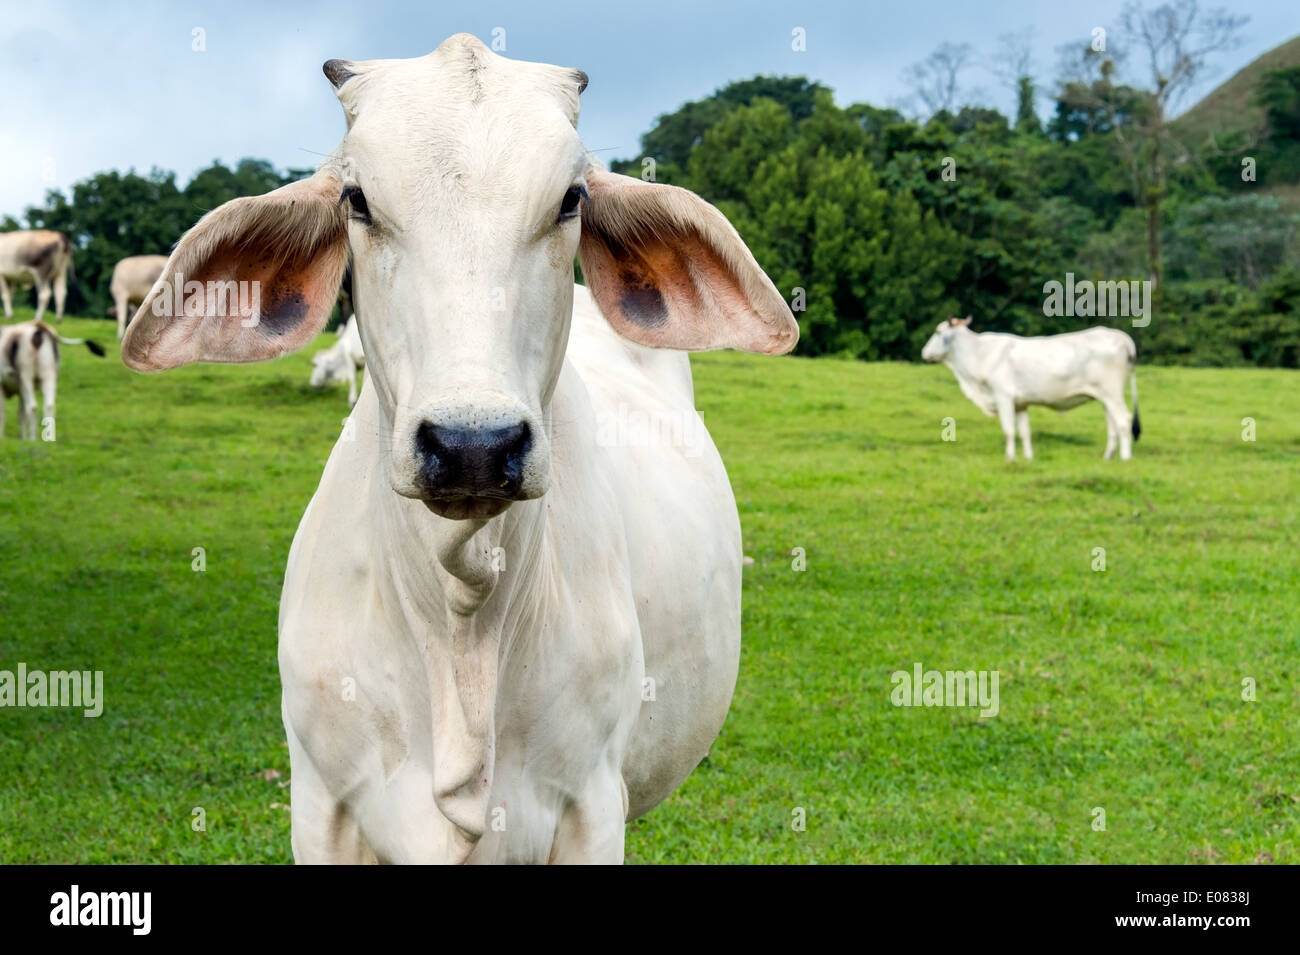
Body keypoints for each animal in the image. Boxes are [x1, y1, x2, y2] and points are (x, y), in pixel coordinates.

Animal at [120, 34, 798, 864]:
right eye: (357, 199)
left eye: (570, 199)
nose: (474, 444)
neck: (460, 625)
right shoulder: (320, 803)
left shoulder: (593, 807)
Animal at [921, 316, 1140, 461]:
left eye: (938, 332)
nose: (924, 352)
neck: (979, 354)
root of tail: (1122, 338)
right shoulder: (1020, 404)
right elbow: (1024, 432)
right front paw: (1028, 457)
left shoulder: (1003, 396)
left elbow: (1009, 430)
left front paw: (1009, 458)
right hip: (1106, 397)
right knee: (1113, 425)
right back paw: (1108, 456)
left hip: (1112, 394)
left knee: (1123, 420)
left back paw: (1125, 457)